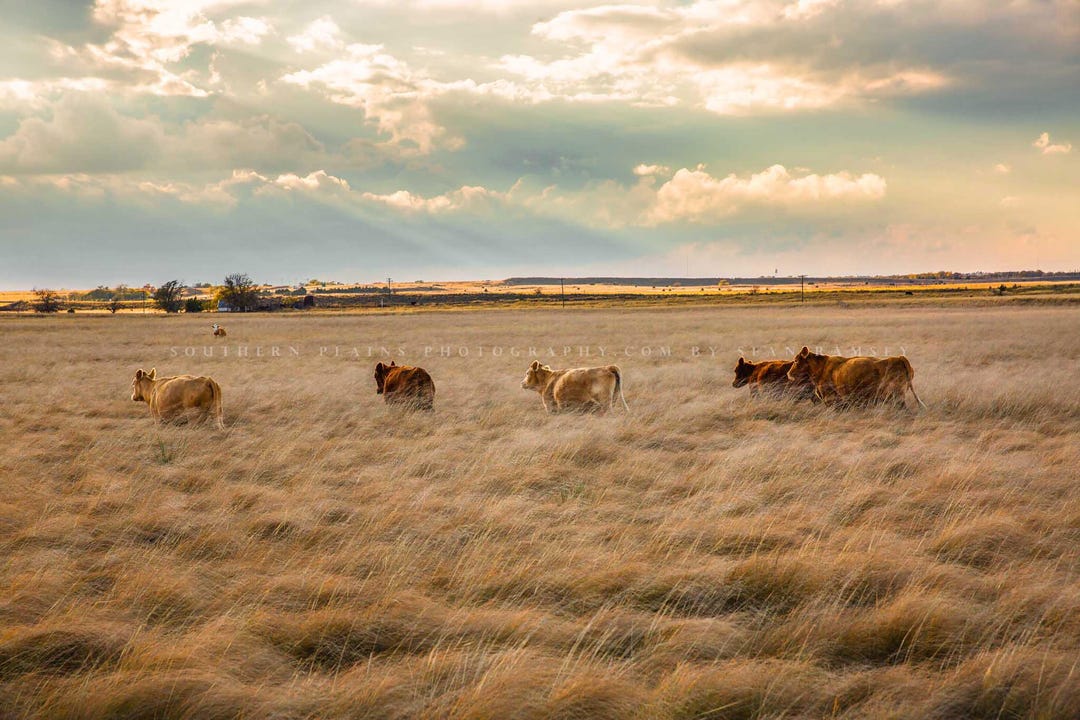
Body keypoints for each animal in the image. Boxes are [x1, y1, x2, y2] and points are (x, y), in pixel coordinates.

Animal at [787, 347, 926, 409]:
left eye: (796, 361)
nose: (789, 373)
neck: (822, 367)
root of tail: (898, 358)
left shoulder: (831, 399)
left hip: (896, 396)